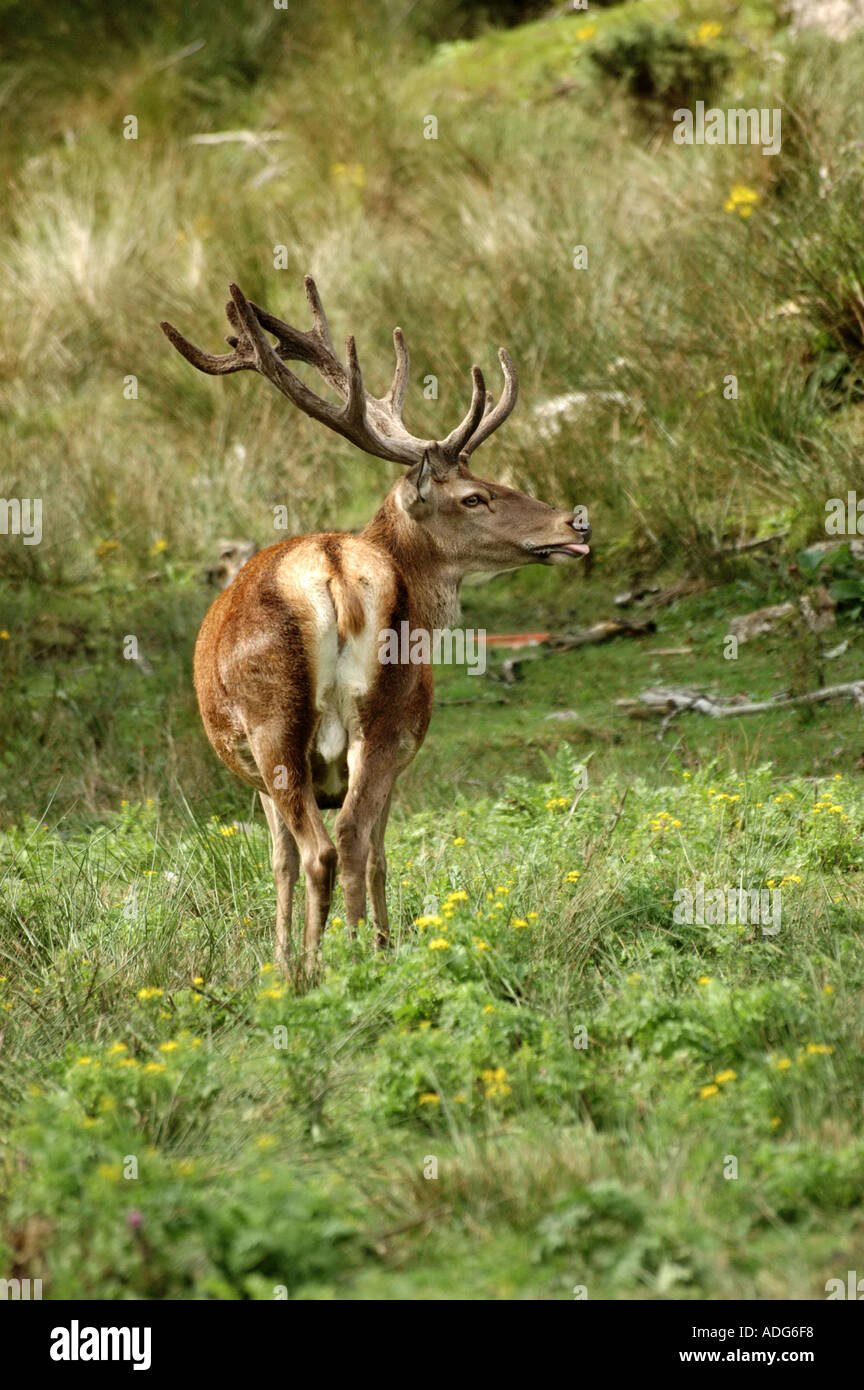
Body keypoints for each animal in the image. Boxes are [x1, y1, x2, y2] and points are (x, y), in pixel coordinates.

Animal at [161, 277, 590, 980]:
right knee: (354, 838)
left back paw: (316, 971)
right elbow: (373, 849)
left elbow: (281, 860)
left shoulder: (266, 770)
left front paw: (279, 959)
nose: (573, 522)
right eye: (475, 496)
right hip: (382, 716)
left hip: (280, 722)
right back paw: (361, 956)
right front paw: (378, 943)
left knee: (324, 848)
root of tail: (334, 569)